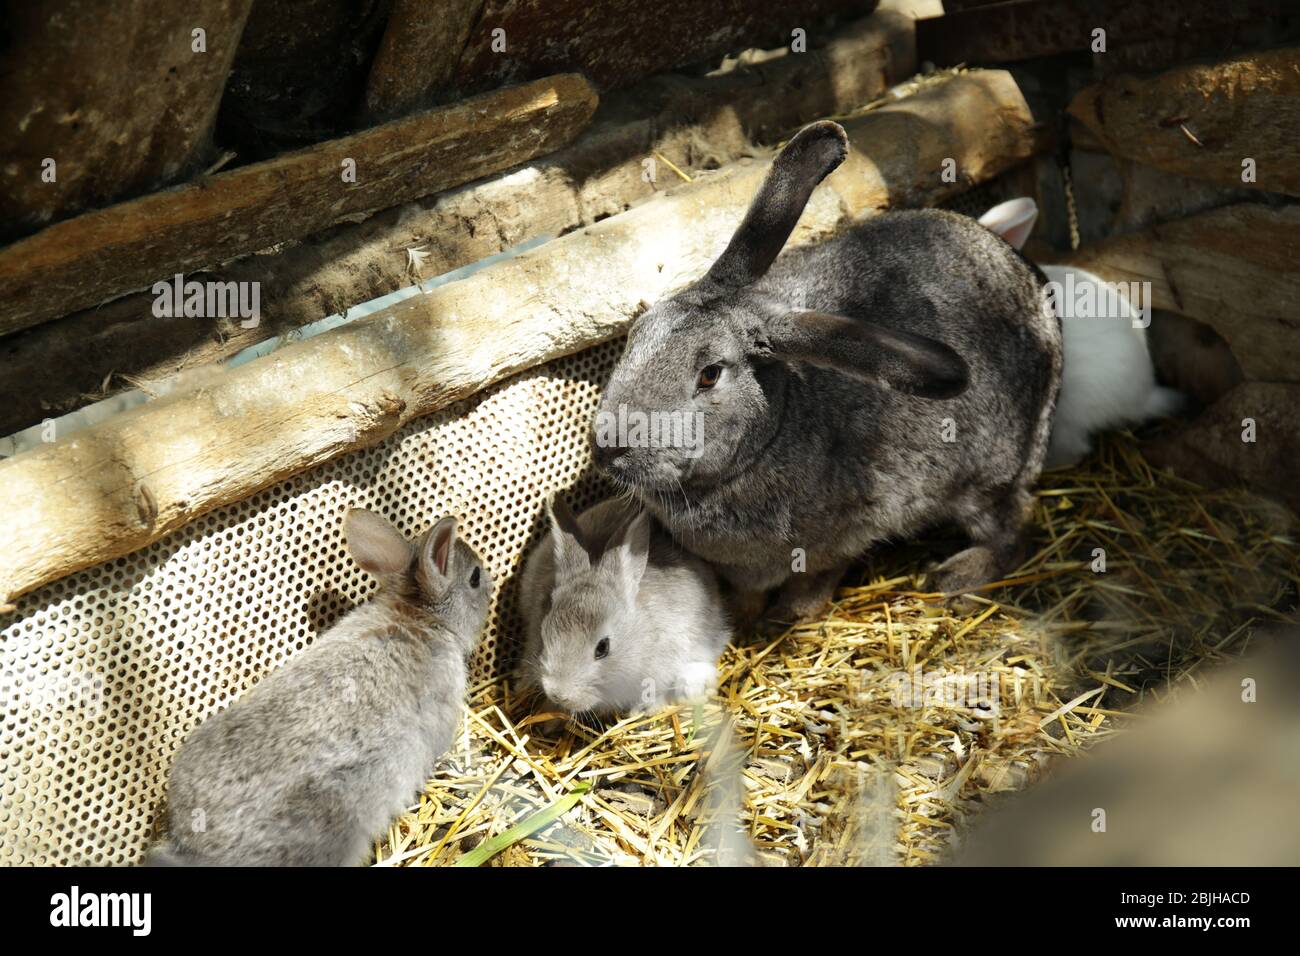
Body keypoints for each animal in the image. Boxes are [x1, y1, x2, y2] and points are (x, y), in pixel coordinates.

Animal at [588, 121, 1062, 618]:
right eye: (636, 333)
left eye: (710, 374)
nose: (606, 447)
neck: (771, 434)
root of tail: (1028, 280)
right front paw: (745, 615)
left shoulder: (844, 537)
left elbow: (814, 582)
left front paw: (789, 614)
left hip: (989, 478)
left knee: (1014, 525)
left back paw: (954, 579)